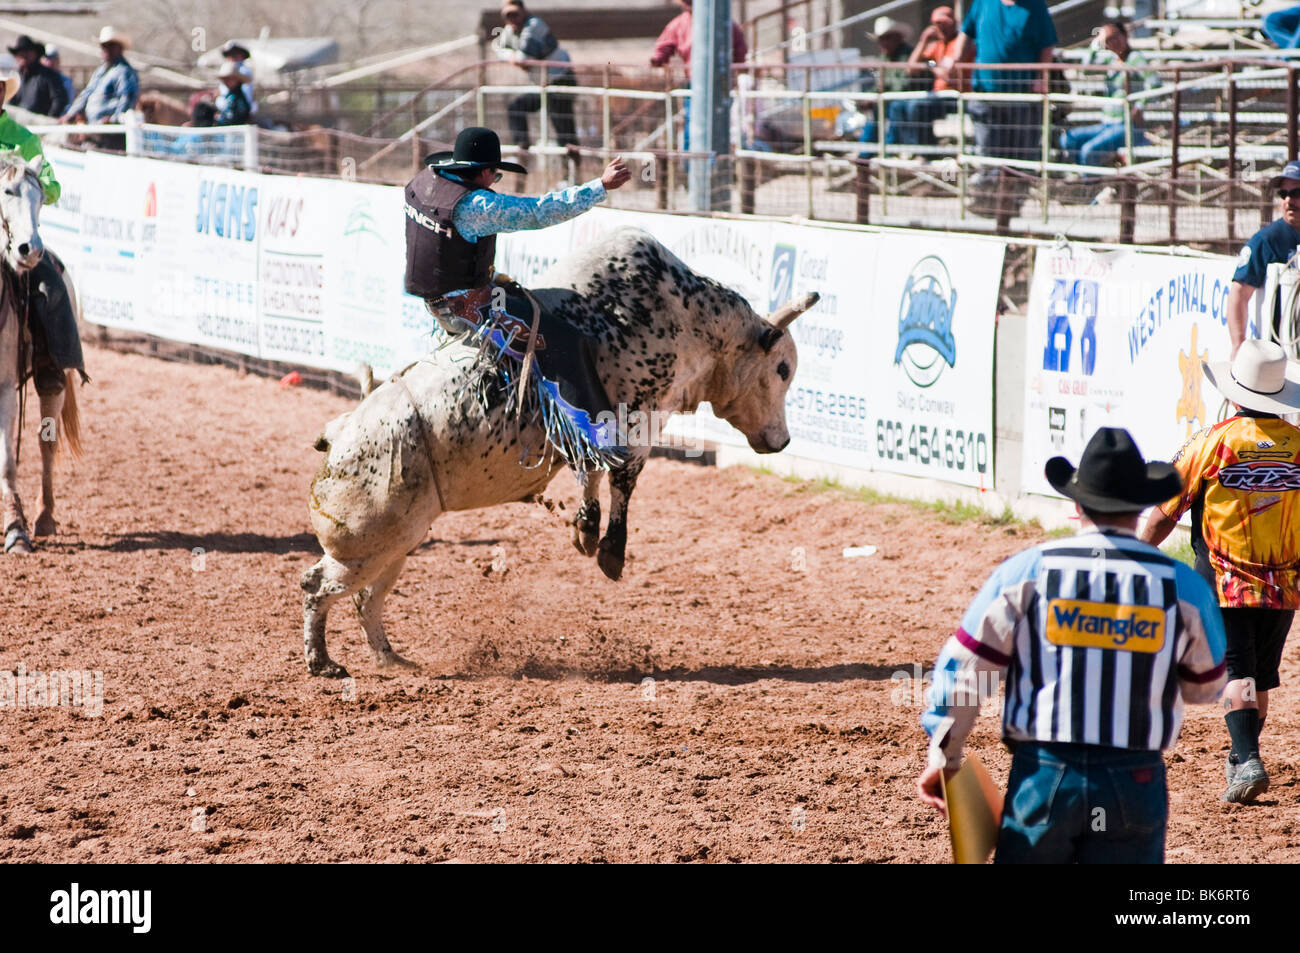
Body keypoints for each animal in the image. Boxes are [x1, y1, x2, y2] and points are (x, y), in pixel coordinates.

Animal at [301, 226, 815, 677]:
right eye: (782, 369)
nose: (783, 441)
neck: (690, 317)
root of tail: (339, 435)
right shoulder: (637, 420)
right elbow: (622, 478)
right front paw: (609, 551)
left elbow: (589, 471)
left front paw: (585, 530)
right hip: (364, 545)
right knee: (317, 586)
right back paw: (323, 663)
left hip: (396, 545)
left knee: (365, 598)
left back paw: (390, 659)